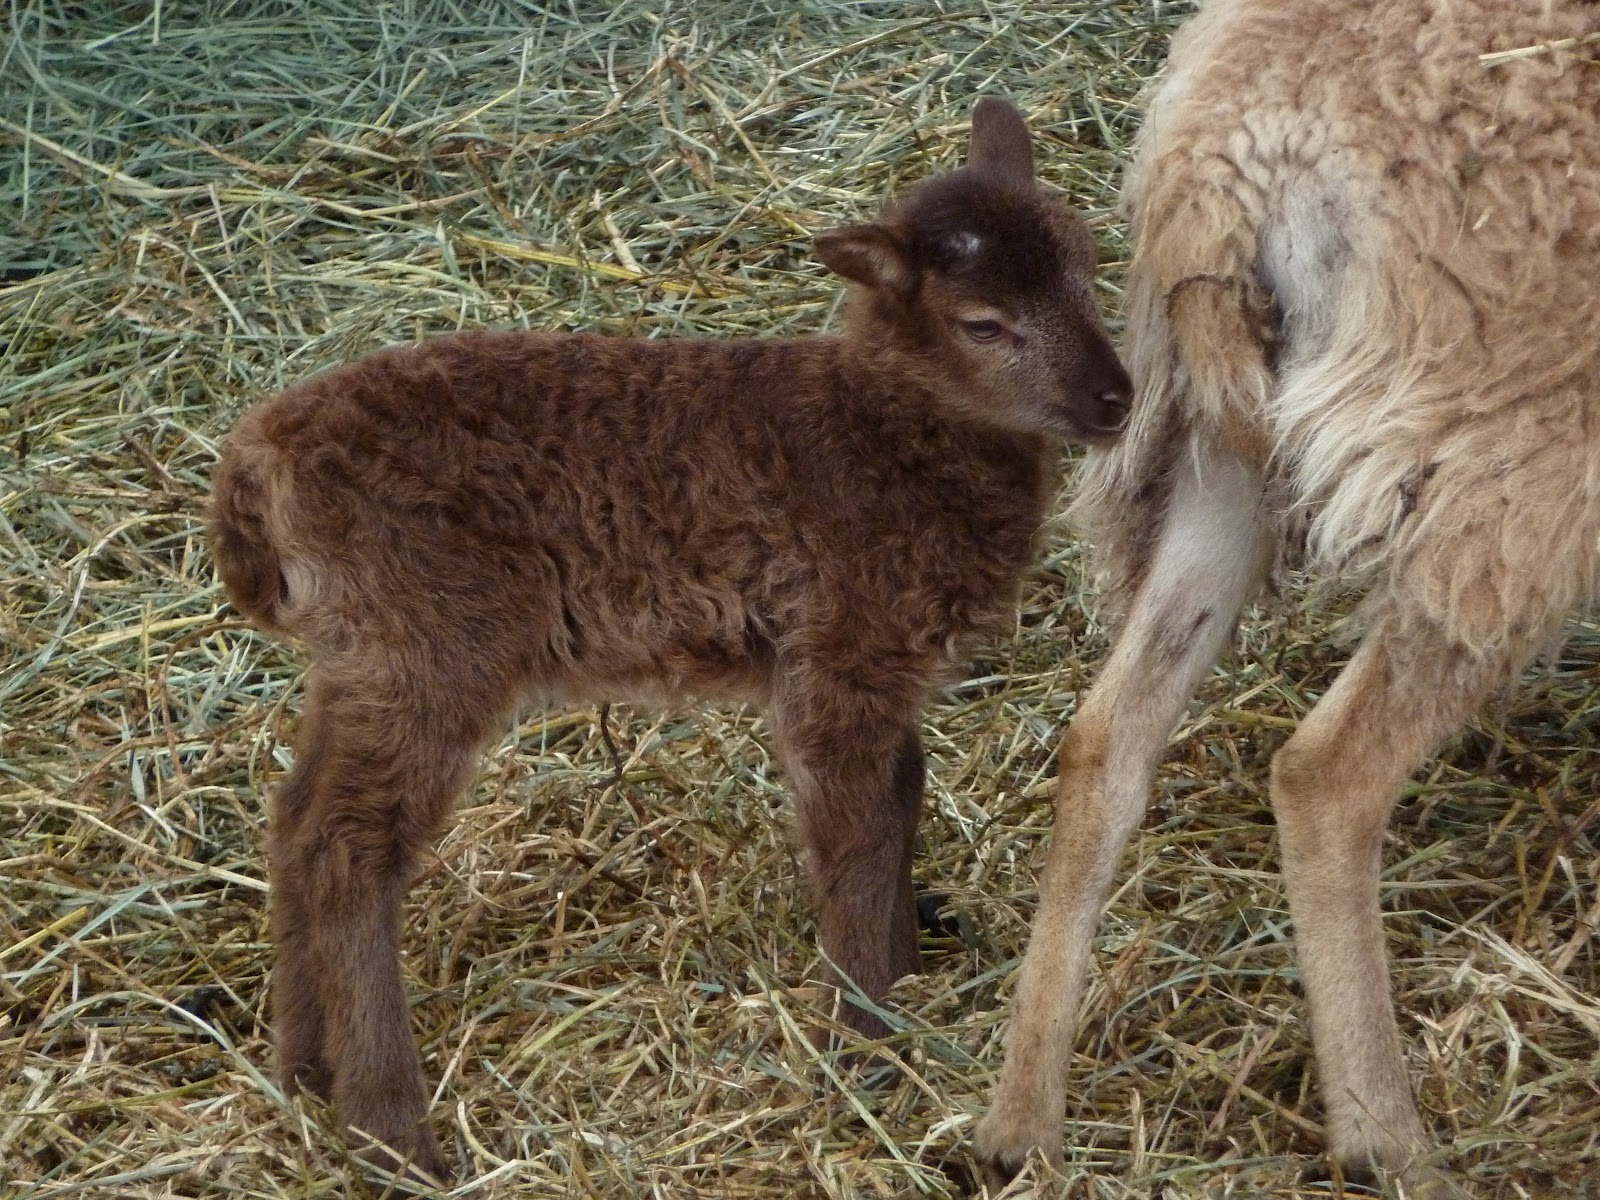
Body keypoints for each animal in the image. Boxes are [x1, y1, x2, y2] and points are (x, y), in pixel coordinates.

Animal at [209, 96, 1130, 1179]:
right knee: (349, 850)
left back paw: (303, 1063)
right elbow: (855, 829)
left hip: (354, 656)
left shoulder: (877, 661)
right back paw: (393, 1131)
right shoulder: (836, 655)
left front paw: (903, 979)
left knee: (295, 819)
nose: (1115, 400)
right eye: (983, 323)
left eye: (1087, 266)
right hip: (430, 647)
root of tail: (257, 458)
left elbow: (901, 795)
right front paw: (866, 1047)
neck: (885, 431)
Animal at [973, 2, 1600, 1195]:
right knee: (1327, 775)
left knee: (1108, 735)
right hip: (1506, 457)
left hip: (1213, 427)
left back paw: (1020, 1126)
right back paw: (1387, 1141)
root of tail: (1225, 156)